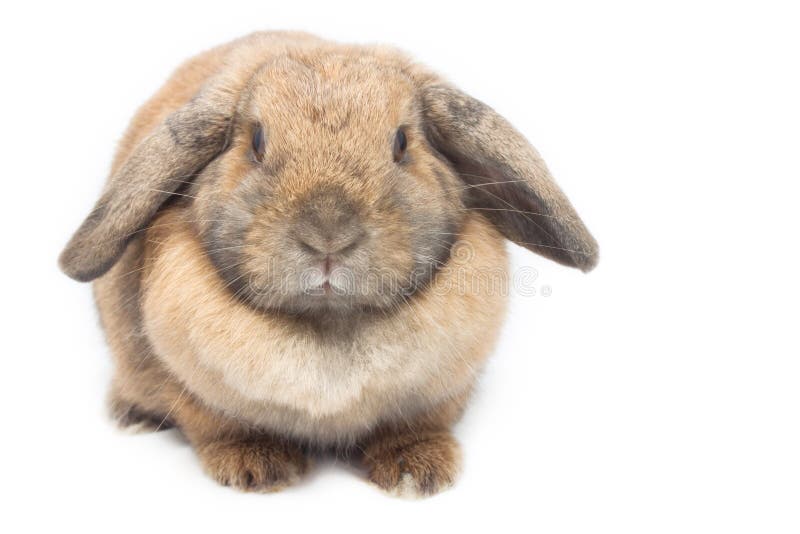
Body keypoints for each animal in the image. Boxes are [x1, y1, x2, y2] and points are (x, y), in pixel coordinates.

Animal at [59, 30, 598, 497]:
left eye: (402, 143)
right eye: (256, 141)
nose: (328, 234)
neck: (331, 327)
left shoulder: (440, 390)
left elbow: (416, 426)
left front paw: (416, 472)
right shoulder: (191, 391)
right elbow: (218, 424)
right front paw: (259, 467)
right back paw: (133, 417)